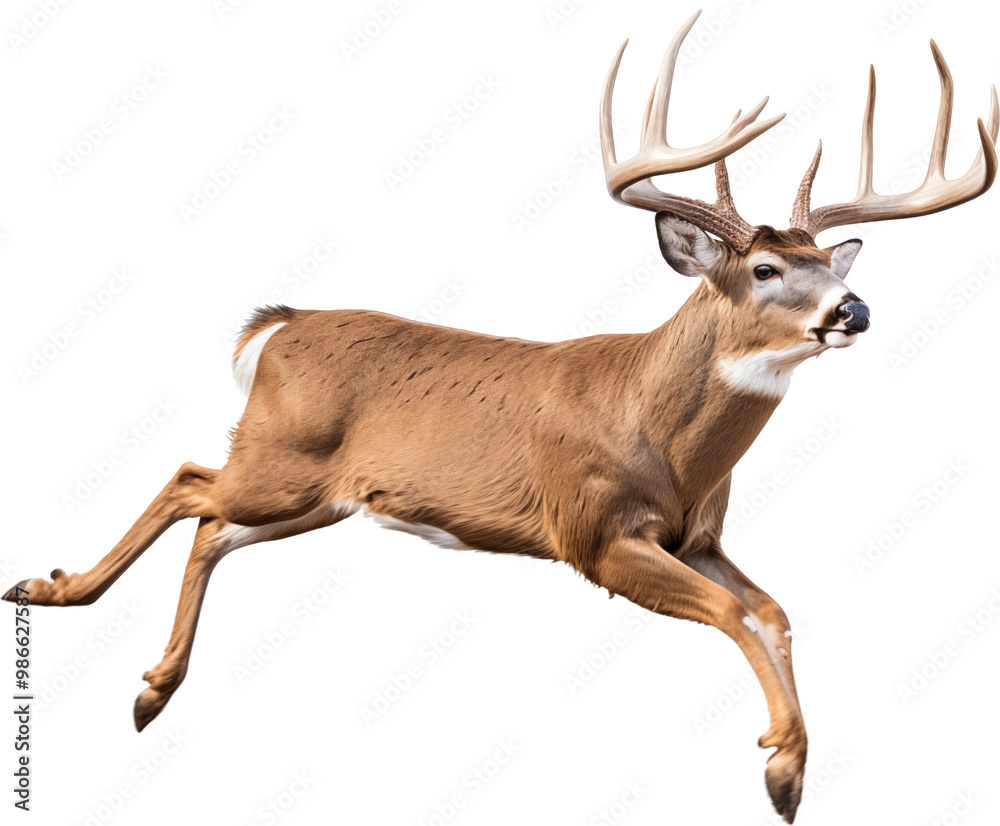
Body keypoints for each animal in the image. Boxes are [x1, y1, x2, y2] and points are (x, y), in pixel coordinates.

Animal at [4, 10, 997, 823]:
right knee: (187, 482)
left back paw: (150, 690)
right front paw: (780, 763)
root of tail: (275, 328)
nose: (853, 309)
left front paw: (787, 771)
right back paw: (52, 593)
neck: (666, 440)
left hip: (316, 494)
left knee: (209, 519)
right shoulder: (591, 531)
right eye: (764, 269)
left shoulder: (698, 535)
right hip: (280, 463)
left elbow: (774, 611)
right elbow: (732, 612)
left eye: (830, 262)